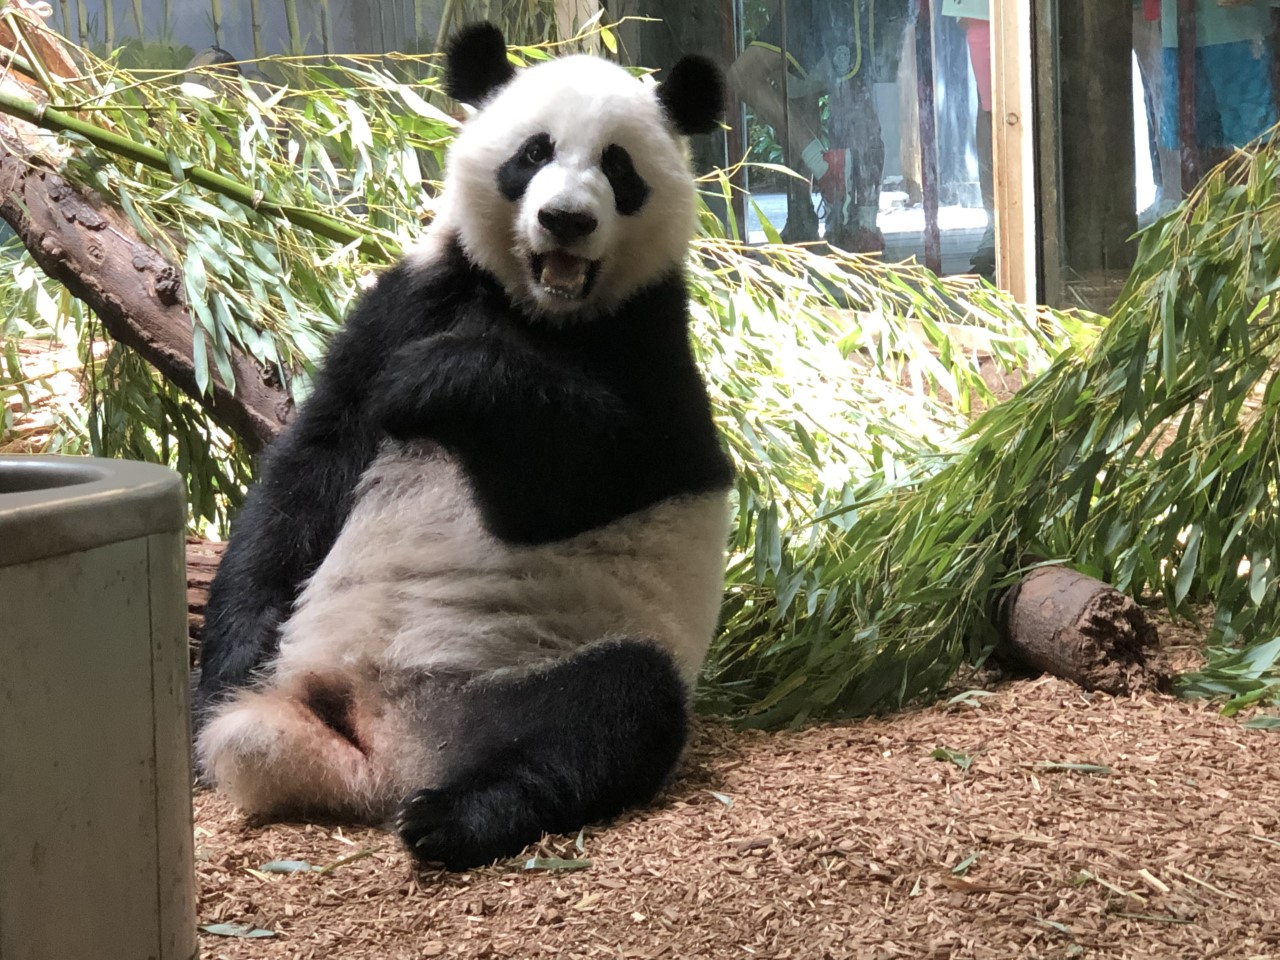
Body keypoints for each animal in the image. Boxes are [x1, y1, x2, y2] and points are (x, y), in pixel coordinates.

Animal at [194, 23, 734, 871]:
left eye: (618, 167)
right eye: (533, 153)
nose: (567, 220)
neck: (534, 309)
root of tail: (383, 761)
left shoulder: (654, 340)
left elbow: (608, 472)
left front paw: (445, 380)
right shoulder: (409, 299)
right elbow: (310, 465)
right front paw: (227, 666)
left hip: (545, 666)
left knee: (614, 710)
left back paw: (459, 815)